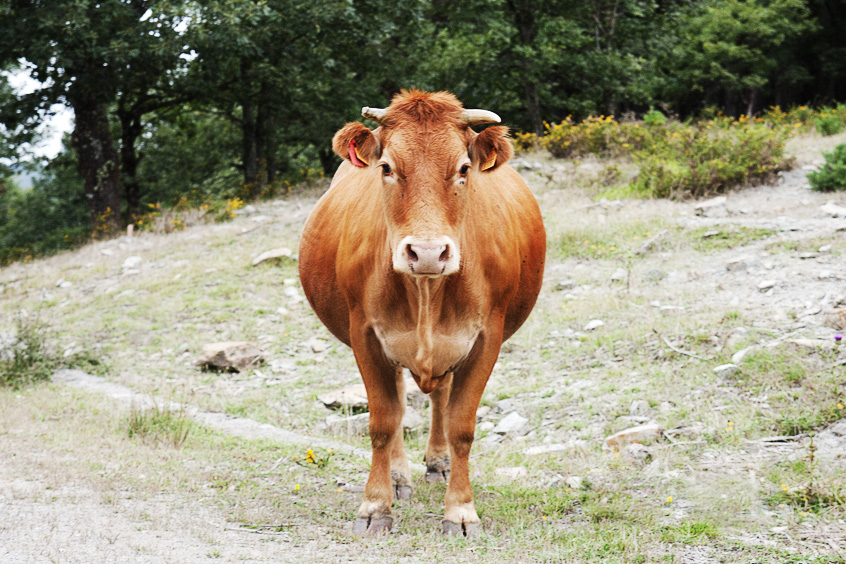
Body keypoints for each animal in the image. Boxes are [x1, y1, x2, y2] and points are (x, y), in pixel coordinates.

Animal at [298, 90, 546, 537]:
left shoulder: (486, 337)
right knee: (397, 402)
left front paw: (461, 511)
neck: (427, 291)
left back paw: (439, 464)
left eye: (463, 168)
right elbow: (382, 421)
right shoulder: (365, 334)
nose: (428, 253)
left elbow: (461, 425)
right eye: (387, 167)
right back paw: (399, 478)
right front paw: (375, 507)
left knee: (440, 398)